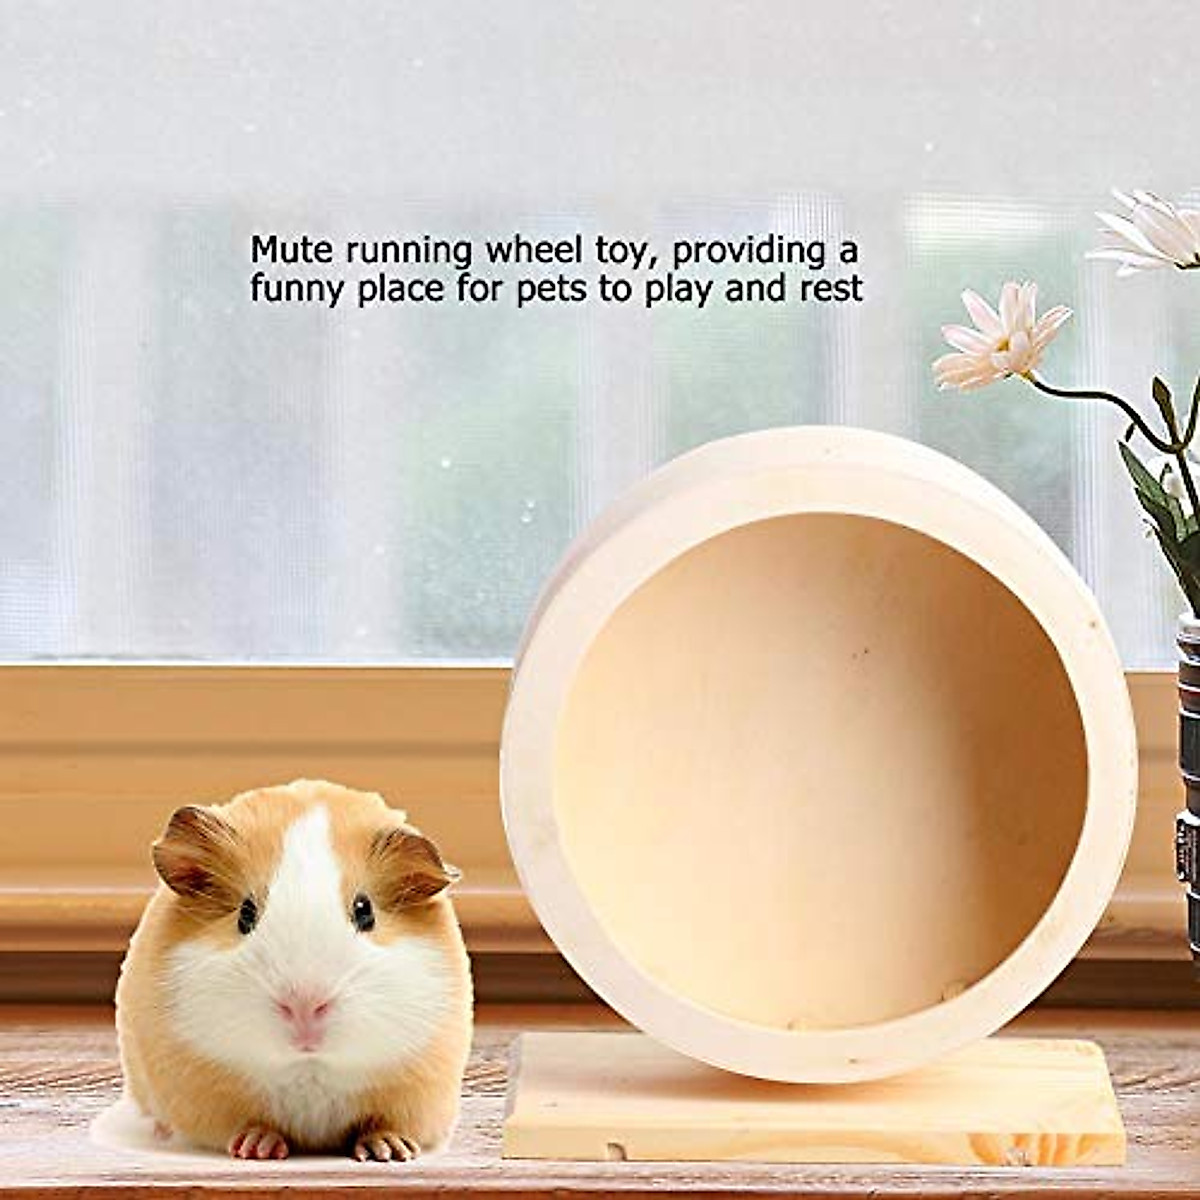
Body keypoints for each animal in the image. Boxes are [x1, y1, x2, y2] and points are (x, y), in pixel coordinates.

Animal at [115, 779, 473, 1162]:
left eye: (365, 911)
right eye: (245, 914)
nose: (304, 1006)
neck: (309, 1068)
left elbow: (384, 1122)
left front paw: (390, 1151)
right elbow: (248, 1124)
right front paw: (258, 1148)